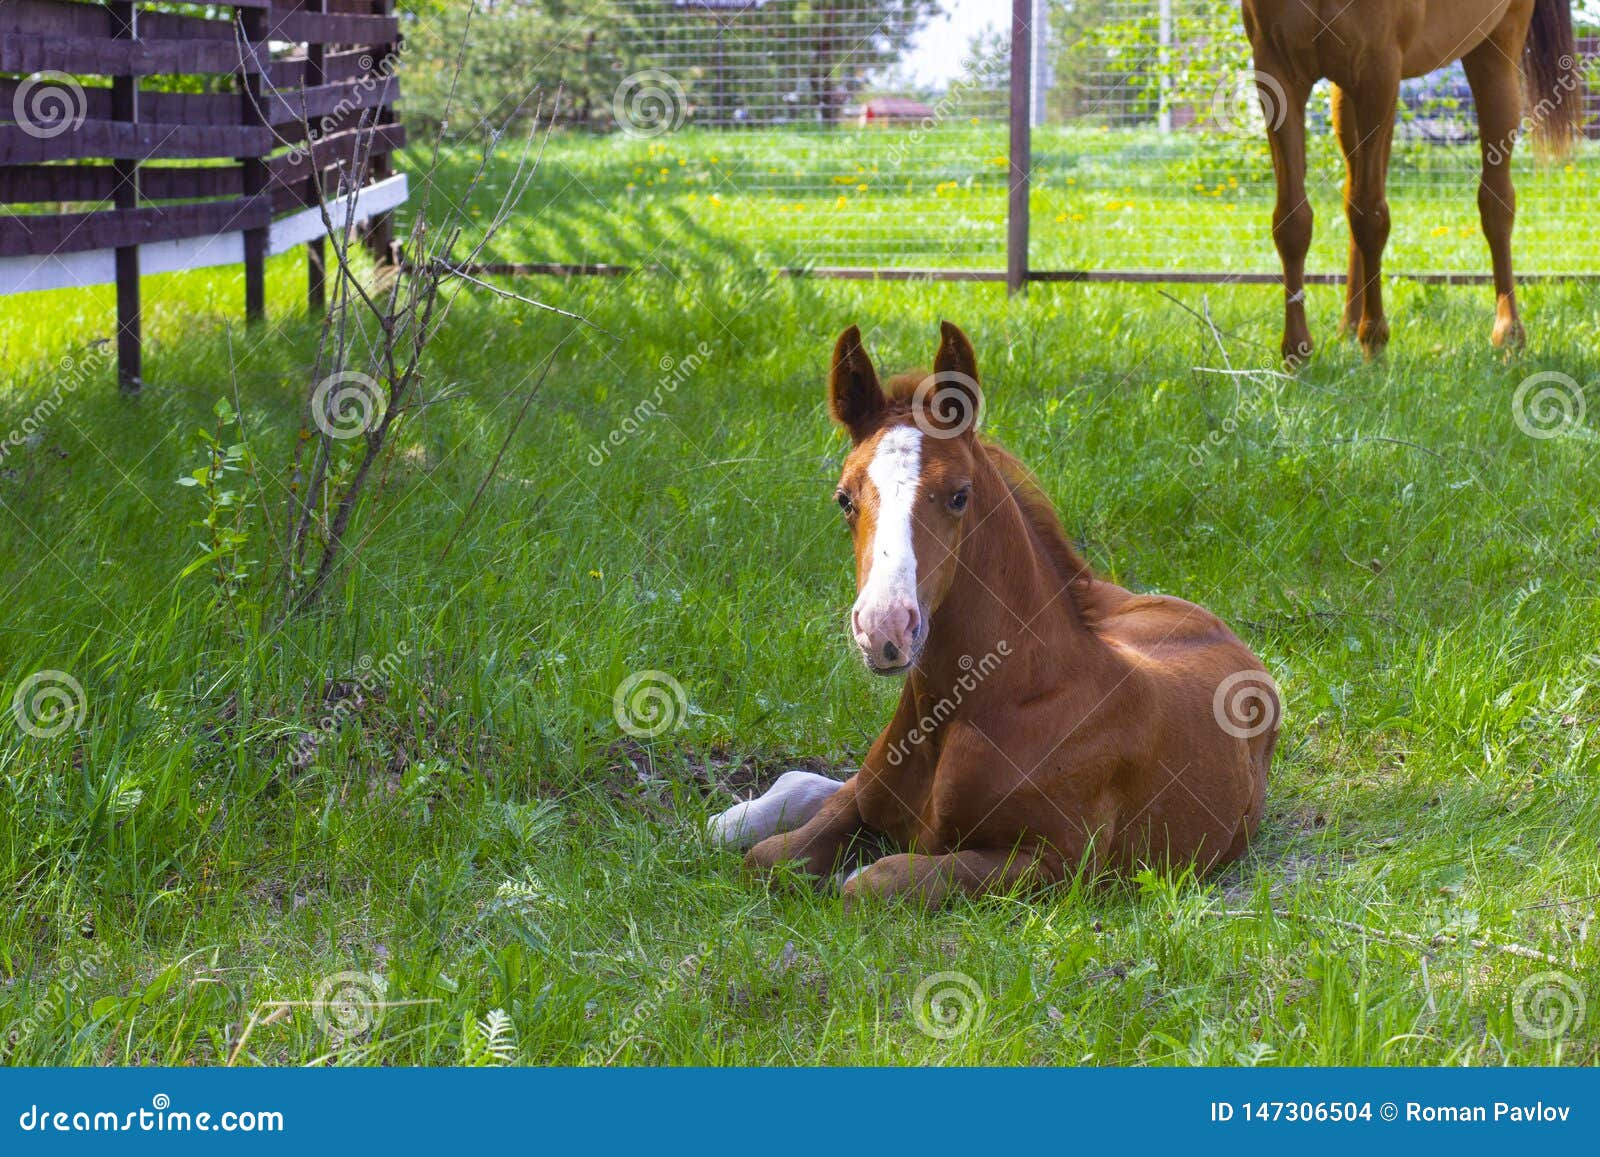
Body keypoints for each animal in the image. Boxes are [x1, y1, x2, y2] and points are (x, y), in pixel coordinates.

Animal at [708, 322, 1278, 908]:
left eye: (960, 495)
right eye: (844, 498)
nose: (884, 629)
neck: (995, 698)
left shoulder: (1058, 866)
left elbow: (871, 881)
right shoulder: (864, 803)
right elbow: (769, 858)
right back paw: (732, 820)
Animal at [1242, 0, 1580, 362]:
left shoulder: (1378, 70)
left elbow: (1370, 218)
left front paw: (1374, 340)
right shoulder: (1277, 71)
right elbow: (1293, 221)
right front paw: (1297, 350)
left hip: (1495, 52)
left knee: (1497, 202)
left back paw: (1509, 335)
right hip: (1347, 94)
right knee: (1353, 194)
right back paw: (1348, 326)